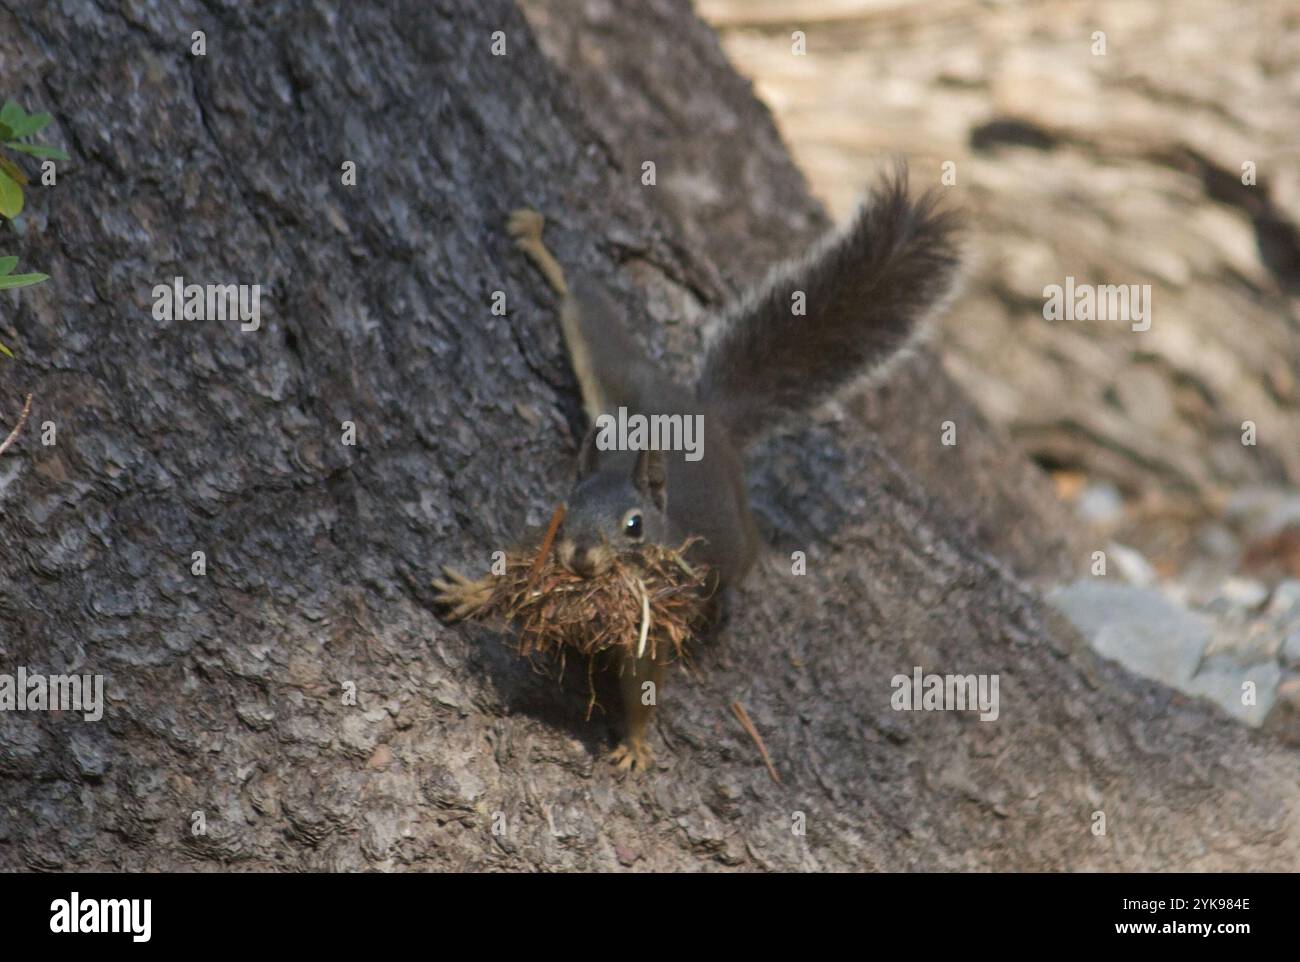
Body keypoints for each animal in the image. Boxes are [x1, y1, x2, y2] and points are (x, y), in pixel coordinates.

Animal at [498, 165, 960, 771]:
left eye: (634, 526)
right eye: (567, 505)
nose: (579, 557)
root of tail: (707, 420)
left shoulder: (655, 625)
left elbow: (644, 684)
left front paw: (636, 744)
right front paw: (468, 592)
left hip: (730, 535)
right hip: (625, 387)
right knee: (590, 318)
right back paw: (536, 241)